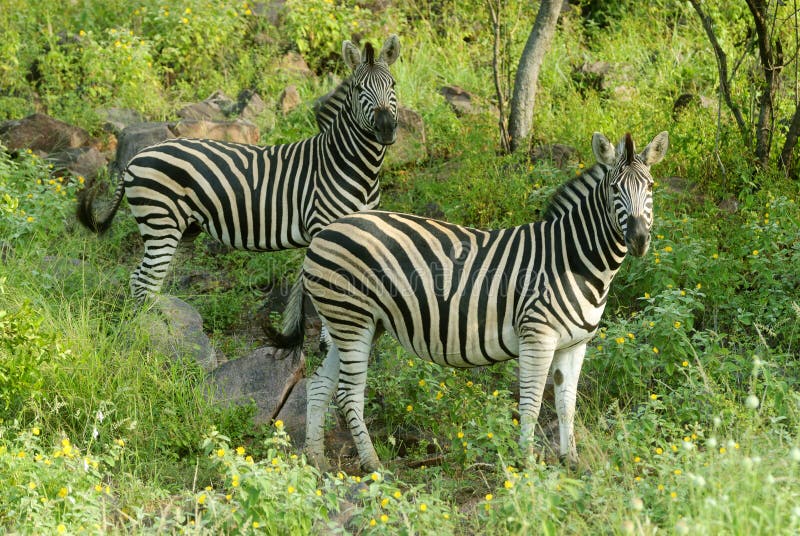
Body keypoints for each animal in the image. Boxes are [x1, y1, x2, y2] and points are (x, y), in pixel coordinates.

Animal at [77, 35, 400, 302]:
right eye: (358, 89)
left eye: (393, 85)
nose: (386, 128)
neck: (353, 164)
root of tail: (138, 156)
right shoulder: (324, 227)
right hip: (160, 220)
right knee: (144, 281)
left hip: (181, 228)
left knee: (142, 279)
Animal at [267, 131, 669, 471]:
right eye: (614, 188)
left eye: (650, 186)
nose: (639, 240)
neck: (572, 259)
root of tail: (323, 235)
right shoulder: (537, 336)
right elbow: (531, 404)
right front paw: (527, 464)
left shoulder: (575, 343)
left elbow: (566, 404)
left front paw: (571, 461)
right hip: (352, 319)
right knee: (348, 393)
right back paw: (372, 465)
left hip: (353, 323)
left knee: (319, 385)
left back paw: (316, 460)